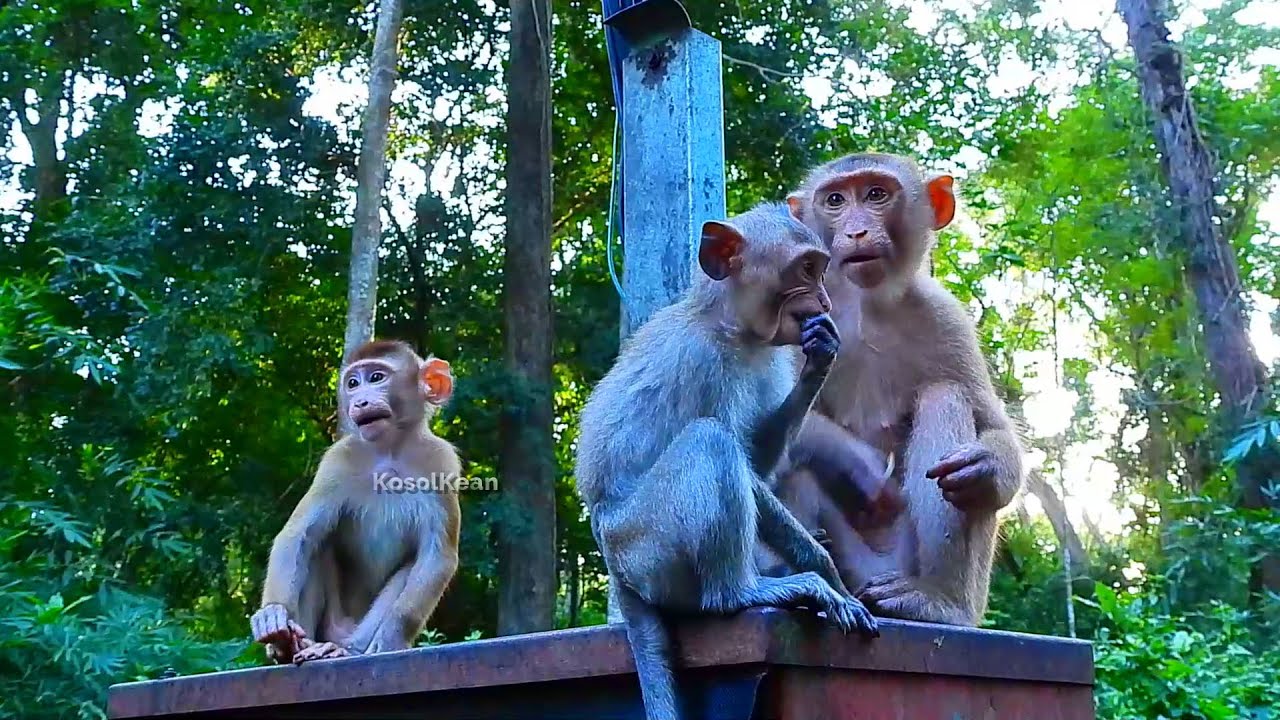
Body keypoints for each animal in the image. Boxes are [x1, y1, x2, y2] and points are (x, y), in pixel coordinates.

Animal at [249, 339, 461, 664]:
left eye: (376, 377)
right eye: (352, 383)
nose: (359, 401)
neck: (389, 451)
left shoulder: (441, 463)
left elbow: (437, 556)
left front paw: (391, 638)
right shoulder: (337, 462)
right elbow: (297, 535)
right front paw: (273, 615)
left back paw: (346, 650)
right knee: (316, 543)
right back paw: (292, 646)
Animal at [576, 203, 878, 720]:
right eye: (806, 269)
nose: (824, 301)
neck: (730, 328)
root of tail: (617, 572)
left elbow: (757, 458)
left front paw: (821, 358)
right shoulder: (704, 365)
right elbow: (743, 466)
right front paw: (831, 575)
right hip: (645, 547)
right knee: (709, 441)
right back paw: (743, 592)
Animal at [776, 152, 1025, 627]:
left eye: (876, 194)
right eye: (835, 200)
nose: (856, 231)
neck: (864, 307)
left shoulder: (947, 318)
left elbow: (992, 428)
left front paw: (988, 465)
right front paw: (865, 468)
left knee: (946, 398)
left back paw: (937, 601)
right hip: (855, 562)